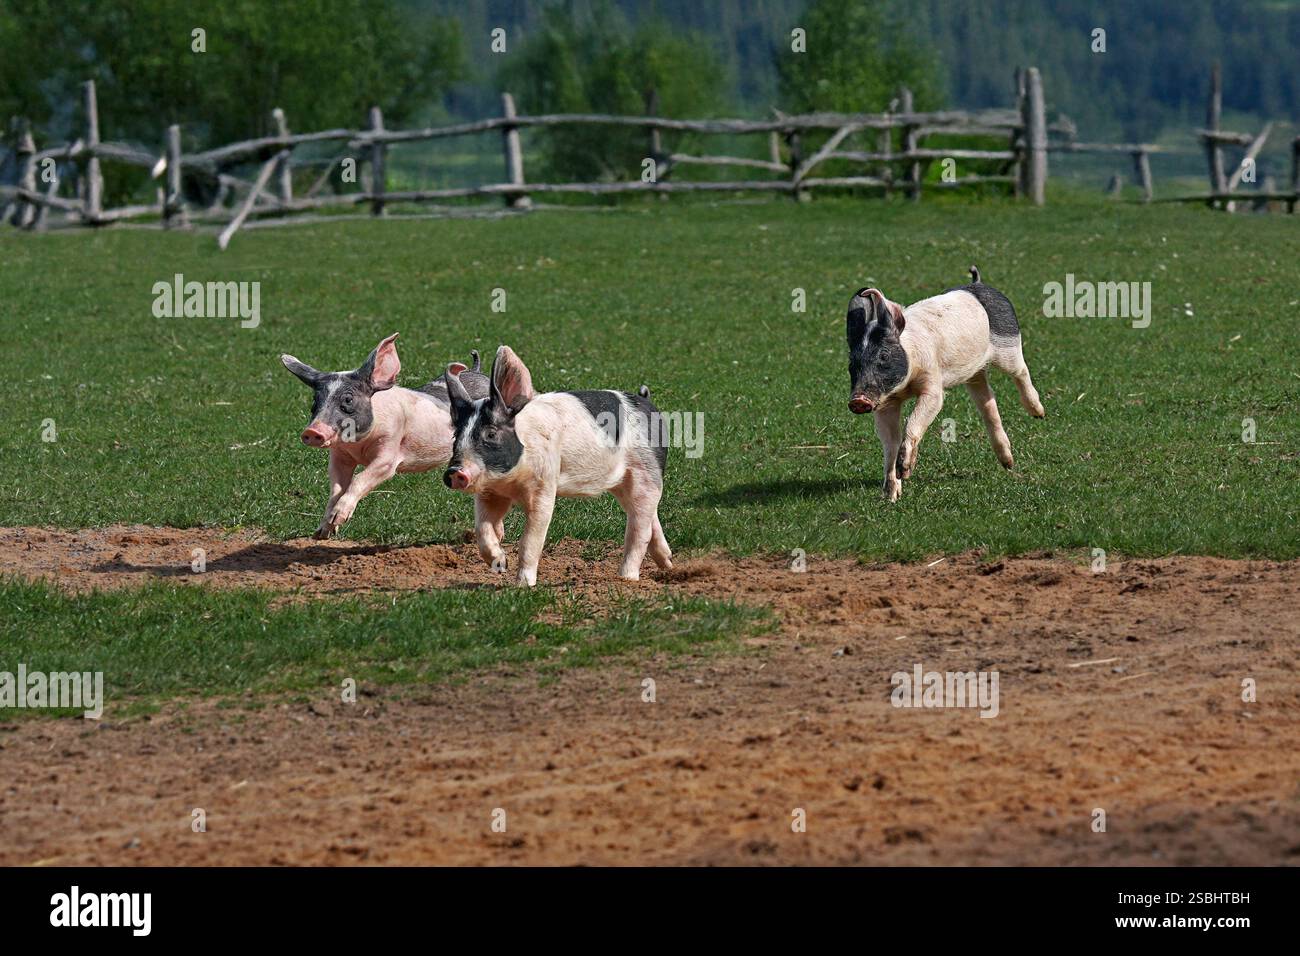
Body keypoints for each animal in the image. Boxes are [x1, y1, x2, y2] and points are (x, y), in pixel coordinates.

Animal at [280, 334, 489, 538]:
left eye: (348, 399)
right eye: (315, 401)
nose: (312, 431)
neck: (358, 445)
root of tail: (476, 370)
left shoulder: (390, 451)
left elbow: (360, 478)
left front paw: (338, 517)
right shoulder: (339, 456)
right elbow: (336, 488)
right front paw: (323, 532)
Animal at [442, 346, 672, 586]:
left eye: (491, 434)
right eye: (456, 436)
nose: (454, 472)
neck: (511, 481)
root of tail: (647, 404)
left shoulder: (545, 482)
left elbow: (531, 539)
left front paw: (523, 585)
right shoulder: (490, 492)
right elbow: (482, 529)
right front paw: (500, 564)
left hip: (646, 469)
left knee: (639, 527)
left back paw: (627, 578)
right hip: (623, 483)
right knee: (647, 515)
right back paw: (667, 564)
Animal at [846, 266, 1045, 502]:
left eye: (884, 355)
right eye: (852, 363)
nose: (858, 400)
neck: (906, 386)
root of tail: (978, 283)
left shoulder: (933, 384)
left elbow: (915, 419)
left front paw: (905, 470)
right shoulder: (886, 403)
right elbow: (890, 443)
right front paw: (891, 495)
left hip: (1009, 346)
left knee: (1021, 371)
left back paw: (1038, 413)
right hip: (975, 374)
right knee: (988, 403)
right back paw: (1008, 463)